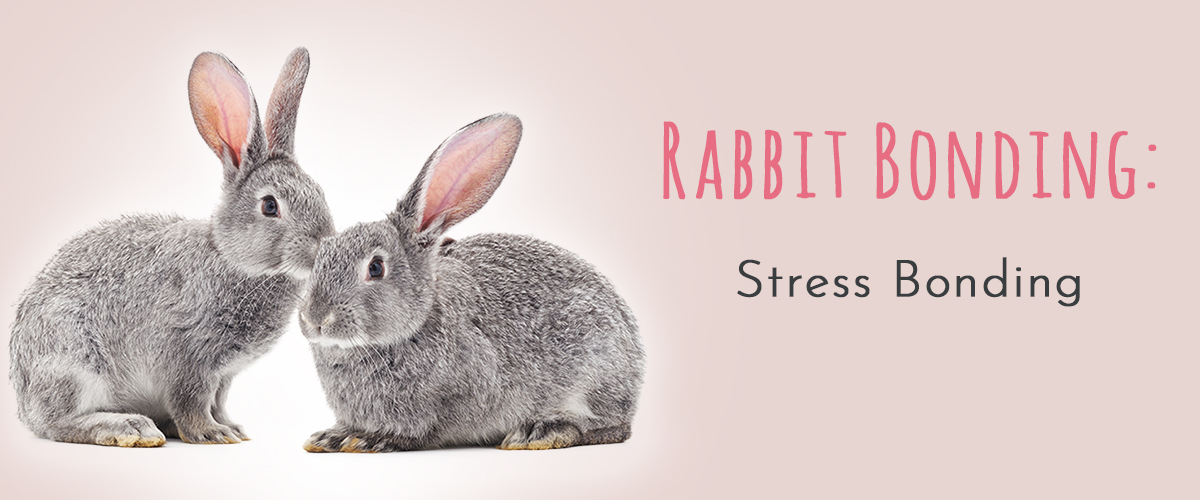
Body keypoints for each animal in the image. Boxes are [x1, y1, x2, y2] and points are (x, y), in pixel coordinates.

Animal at [8, 47, 335, 447]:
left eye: (318, 192)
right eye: (270, 206)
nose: (323, 243)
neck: (230, 258)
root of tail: (22, 397)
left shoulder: (224, 375)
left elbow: (217, 400)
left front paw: (232, 428)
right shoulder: (188, 357)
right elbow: (192, 400)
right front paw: (212, 433)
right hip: (73, 362)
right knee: (58, 421)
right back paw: (129, 427)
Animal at [299, 113, 645, 452]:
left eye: (375, 268)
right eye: (318, 259)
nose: (315, 319)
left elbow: (423, 431)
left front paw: (369, 439)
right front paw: (333, 436)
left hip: (595, 368)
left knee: (610, 427)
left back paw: (542, 431)